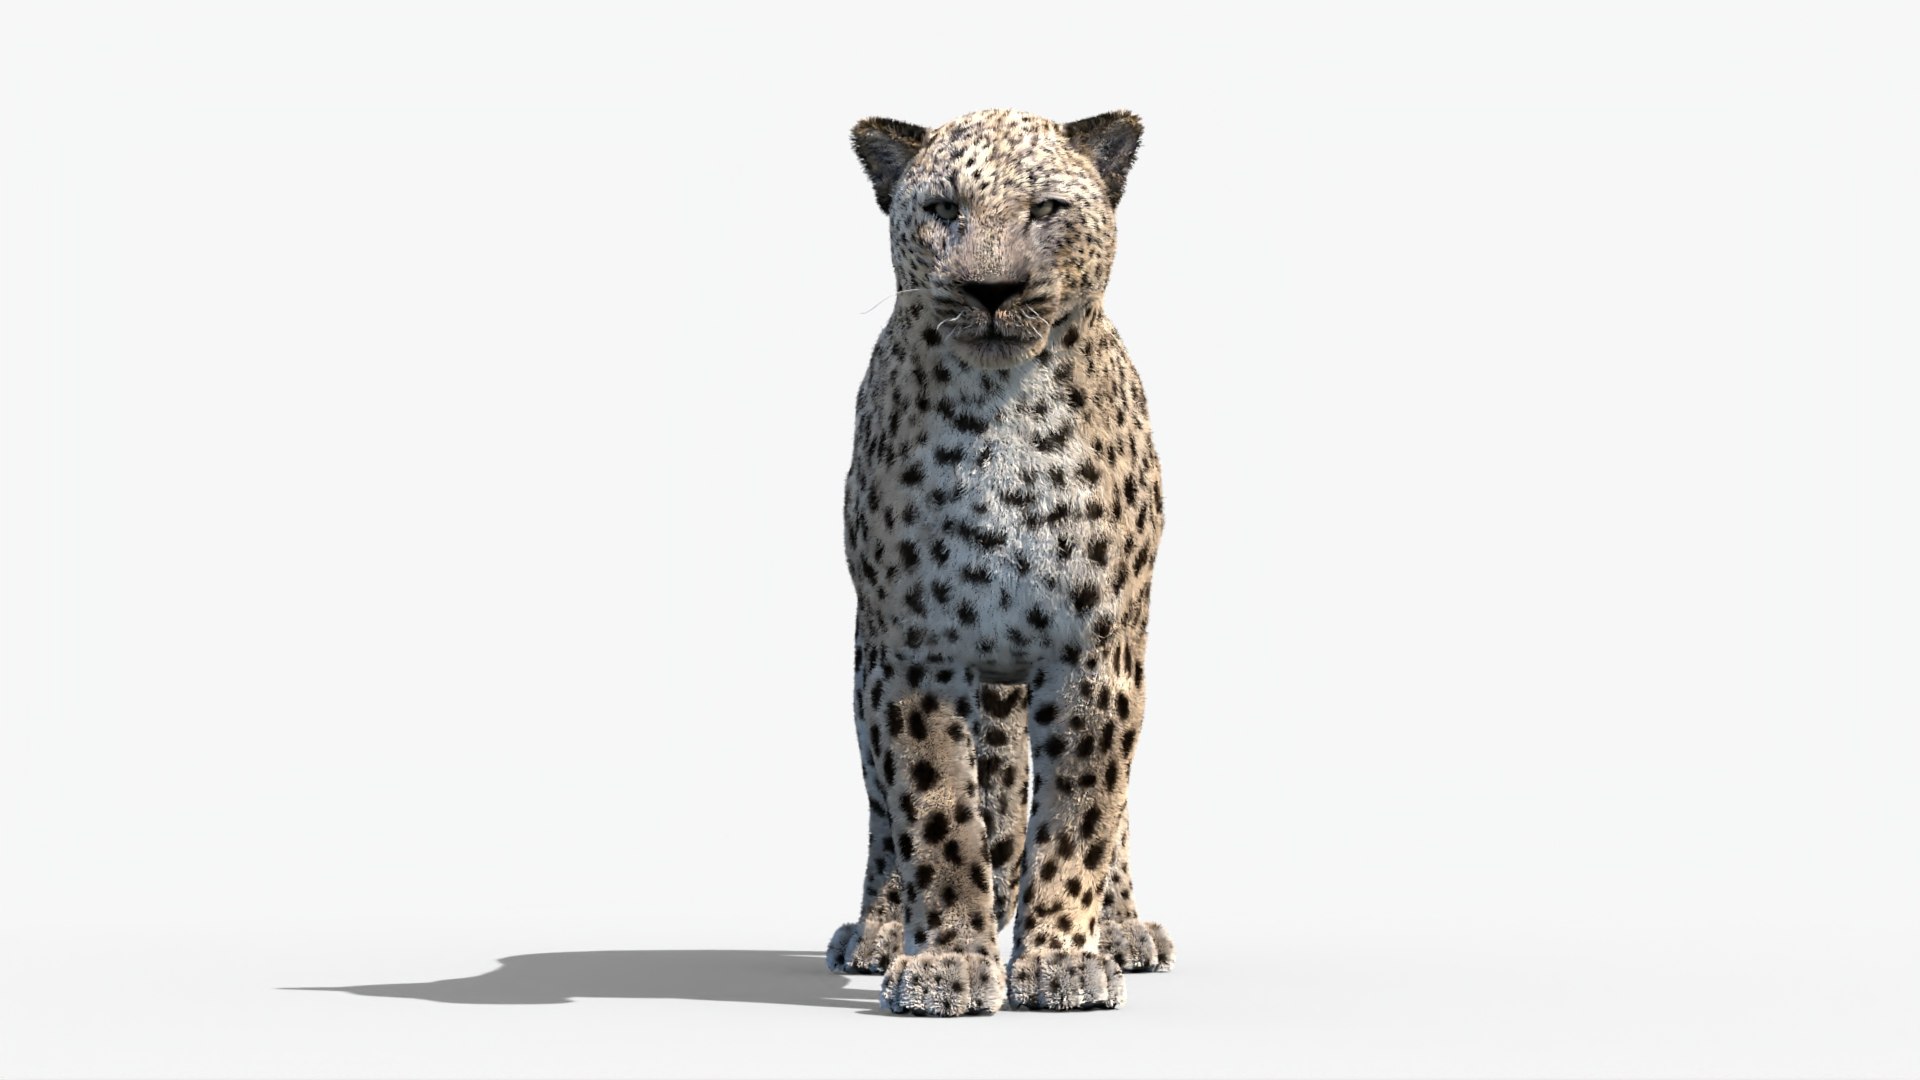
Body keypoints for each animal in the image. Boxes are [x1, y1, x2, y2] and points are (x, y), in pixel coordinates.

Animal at [824, 108, 1174, 1015]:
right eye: (944, 208)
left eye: (1046, 209)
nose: (993, 291)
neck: (1000, 411)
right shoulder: (914, 655)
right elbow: (935, 808)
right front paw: (946, 962)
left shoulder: (1094, 652)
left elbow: (1084, 813)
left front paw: (1059, 961)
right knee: (886, 810)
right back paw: (877, 930)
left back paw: (1126, 930)